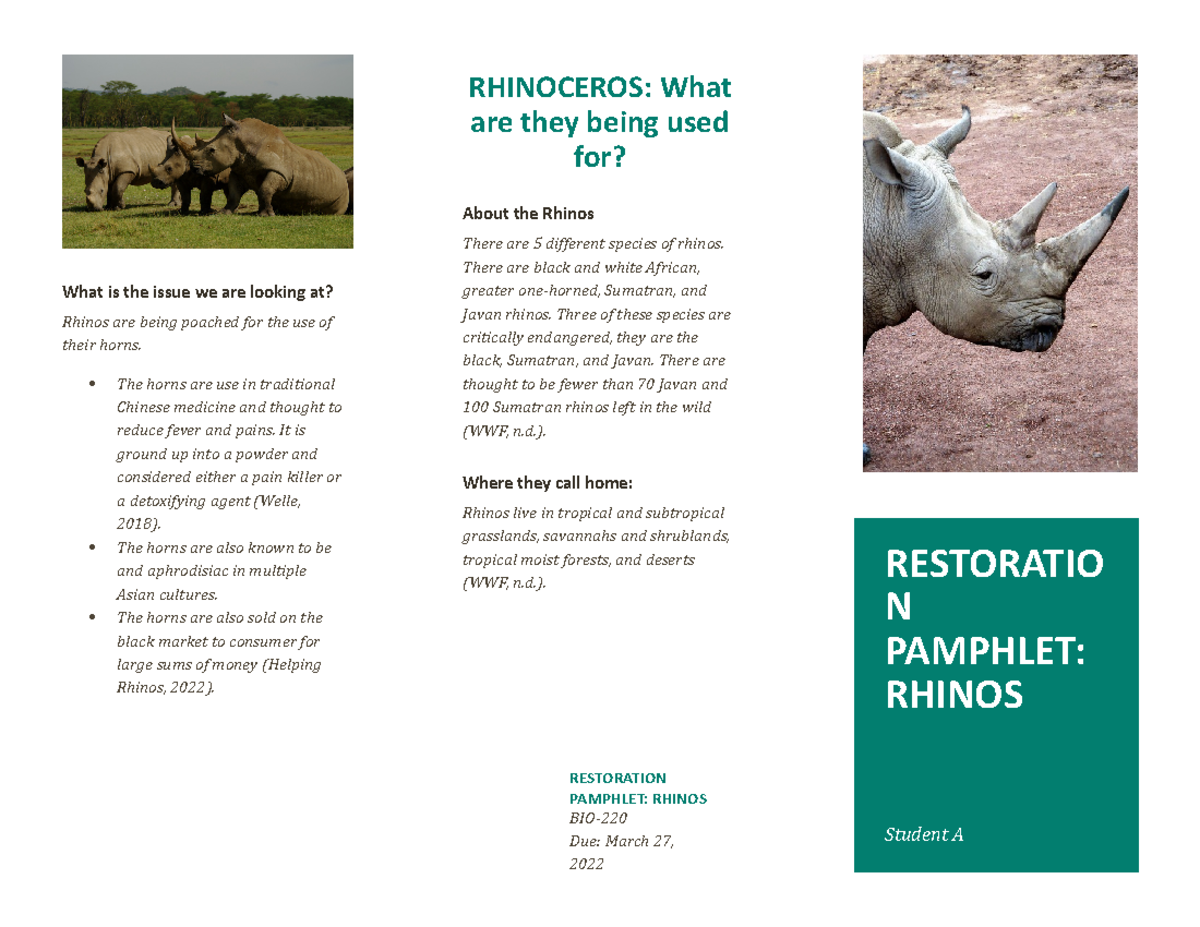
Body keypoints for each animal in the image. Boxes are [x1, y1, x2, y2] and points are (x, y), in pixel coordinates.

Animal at [180, 114, 349, 216]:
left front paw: (266, 215)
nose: (194, 169)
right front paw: (223, 212)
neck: (244, 141)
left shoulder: (281, 172)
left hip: (343, 191)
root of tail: (342, 174)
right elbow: (234, 194)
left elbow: (265, 189)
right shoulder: (240, 170)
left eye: (211, 150)